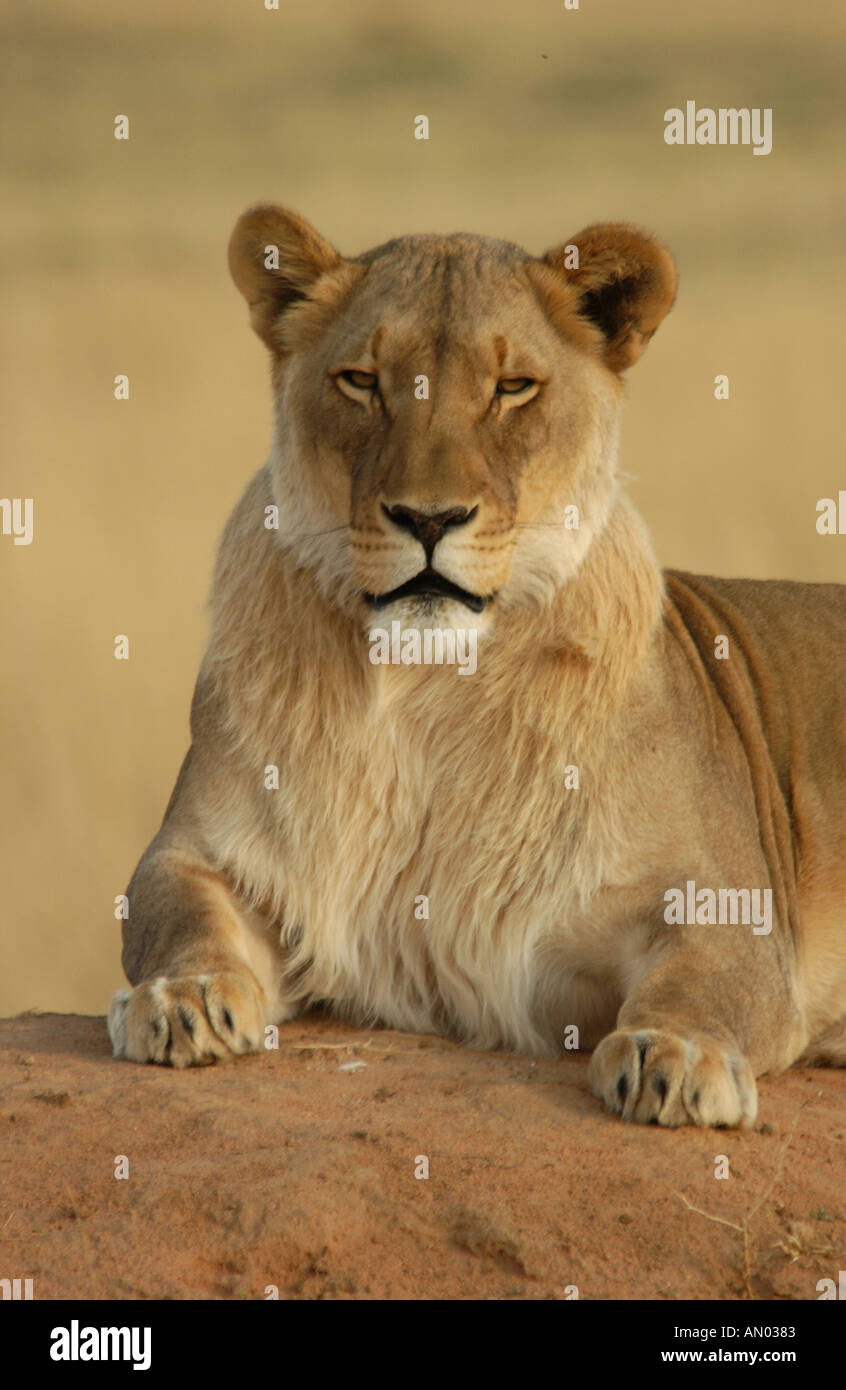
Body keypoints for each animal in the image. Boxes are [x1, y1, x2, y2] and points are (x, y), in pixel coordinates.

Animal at [108, 204, 846, 1129]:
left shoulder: (729, 905)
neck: (428, 684)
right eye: (362, 381)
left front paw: (673, 1053)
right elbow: (179, 914)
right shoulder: (194, 848)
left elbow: (705, 984)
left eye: (512, 387)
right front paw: (185, 997)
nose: (429, 518)